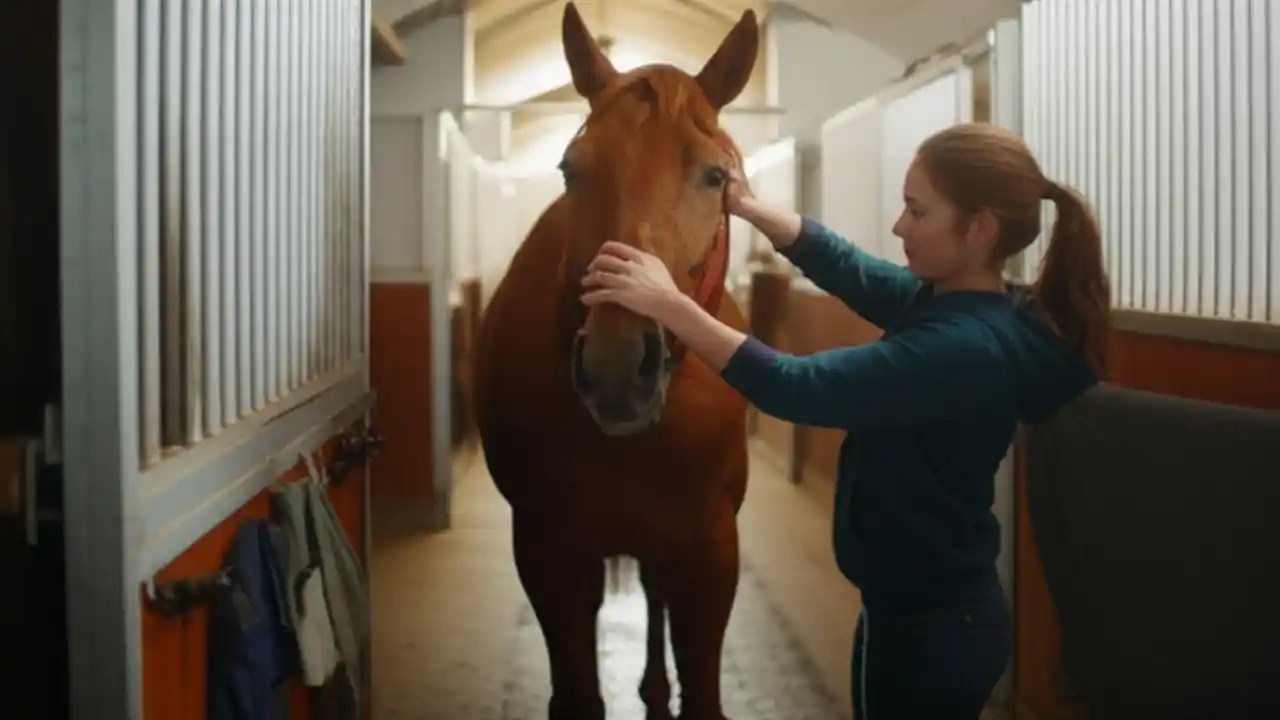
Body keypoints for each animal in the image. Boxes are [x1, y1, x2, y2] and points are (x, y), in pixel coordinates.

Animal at [472, 3, 758, 719]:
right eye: (570, 170)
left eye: (715, 177)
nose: (616, 370)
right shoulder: (548, 551)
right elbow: (577, 694)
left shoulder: (710, 552)